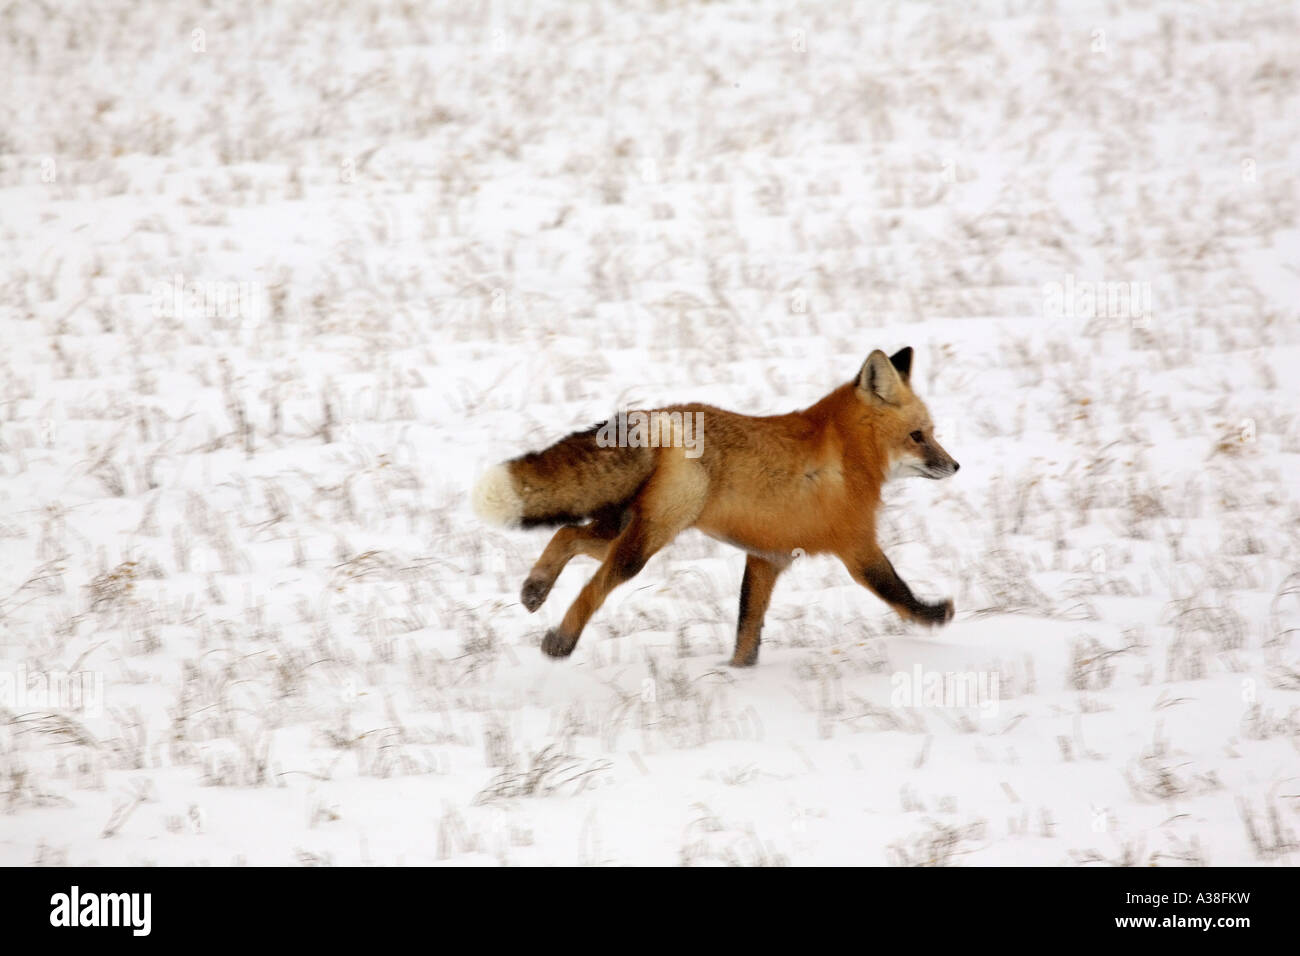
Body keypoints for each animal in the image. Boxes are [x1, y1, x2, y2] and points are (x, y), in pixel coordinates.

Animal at [472, 346, 960, 666]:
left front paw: (736, 675)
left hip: (624, 527)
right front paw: (935, 616)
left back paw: (535, 589)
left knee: (567, 533)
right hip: (645, 542)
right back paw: (562, 641)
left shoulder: (768, 558)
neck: (850, 453)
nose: (955, 465)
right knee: (595, 586)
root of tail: (660, 416)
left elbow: (748, 629)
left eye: (932, 433)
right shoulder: (857, 546)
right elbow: (897, 592)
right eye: (919, 436)